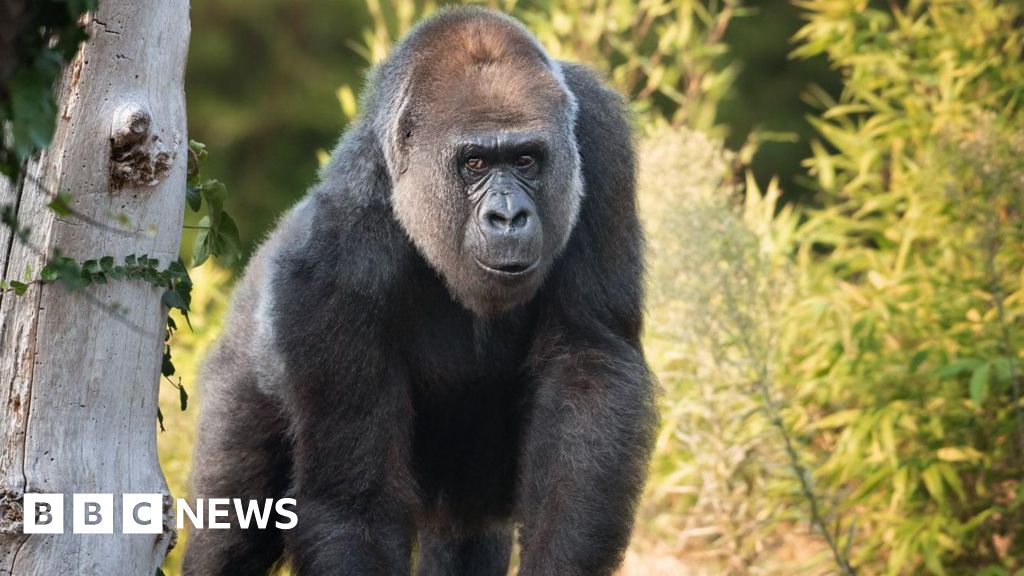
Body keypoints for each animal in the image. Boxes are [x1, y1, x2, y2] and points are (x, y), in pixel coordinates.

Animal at [183, 7, 657, 576]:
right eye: (474, 163)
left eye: (525, 160)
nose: (508, 217)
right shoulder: (330, 262)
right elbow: (351, 504)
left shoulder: (601, 138)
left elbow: (588, 368)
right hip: (242, 366)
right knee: (230, 528)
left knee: (467, 527)